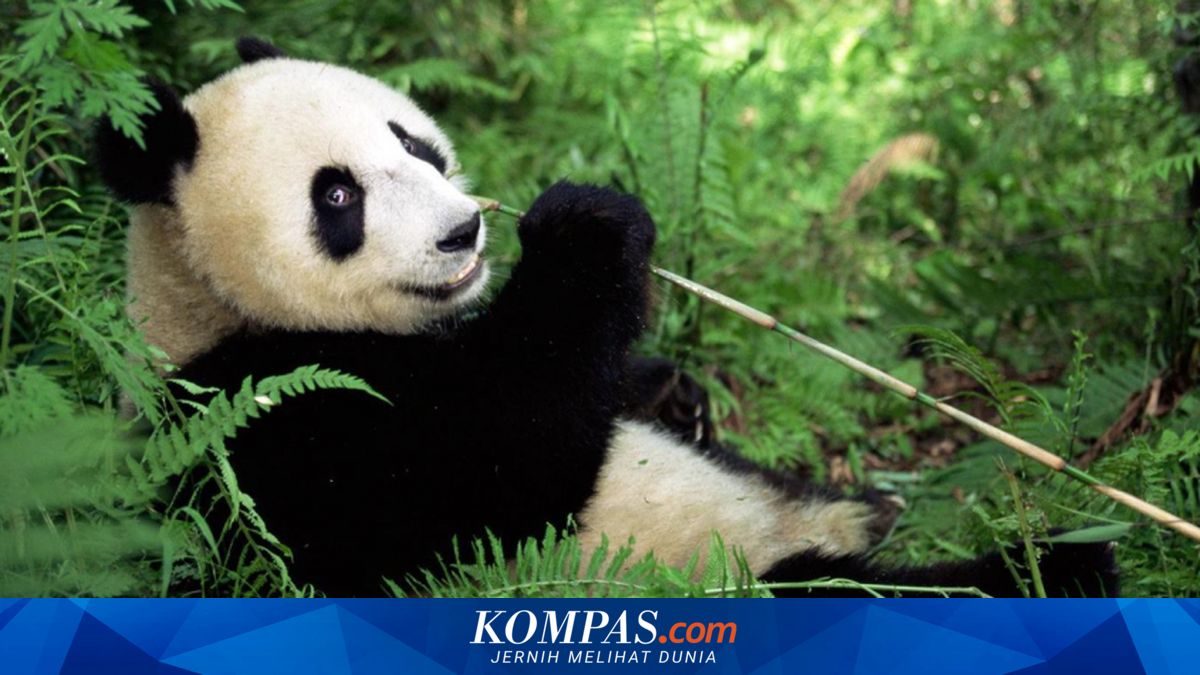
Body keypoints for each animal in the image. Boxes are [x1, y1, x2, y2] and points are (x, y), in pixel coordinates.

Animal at [96, 38, 1118, 597]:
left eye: (413, 143)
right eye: (338, 195)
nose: (465, 230)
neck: (207, 305)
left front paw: (673, 391)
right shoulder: (265, 423)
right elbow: (505, 467)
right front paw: (586, 228)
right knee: (852, 598)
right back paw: (1060, 568)